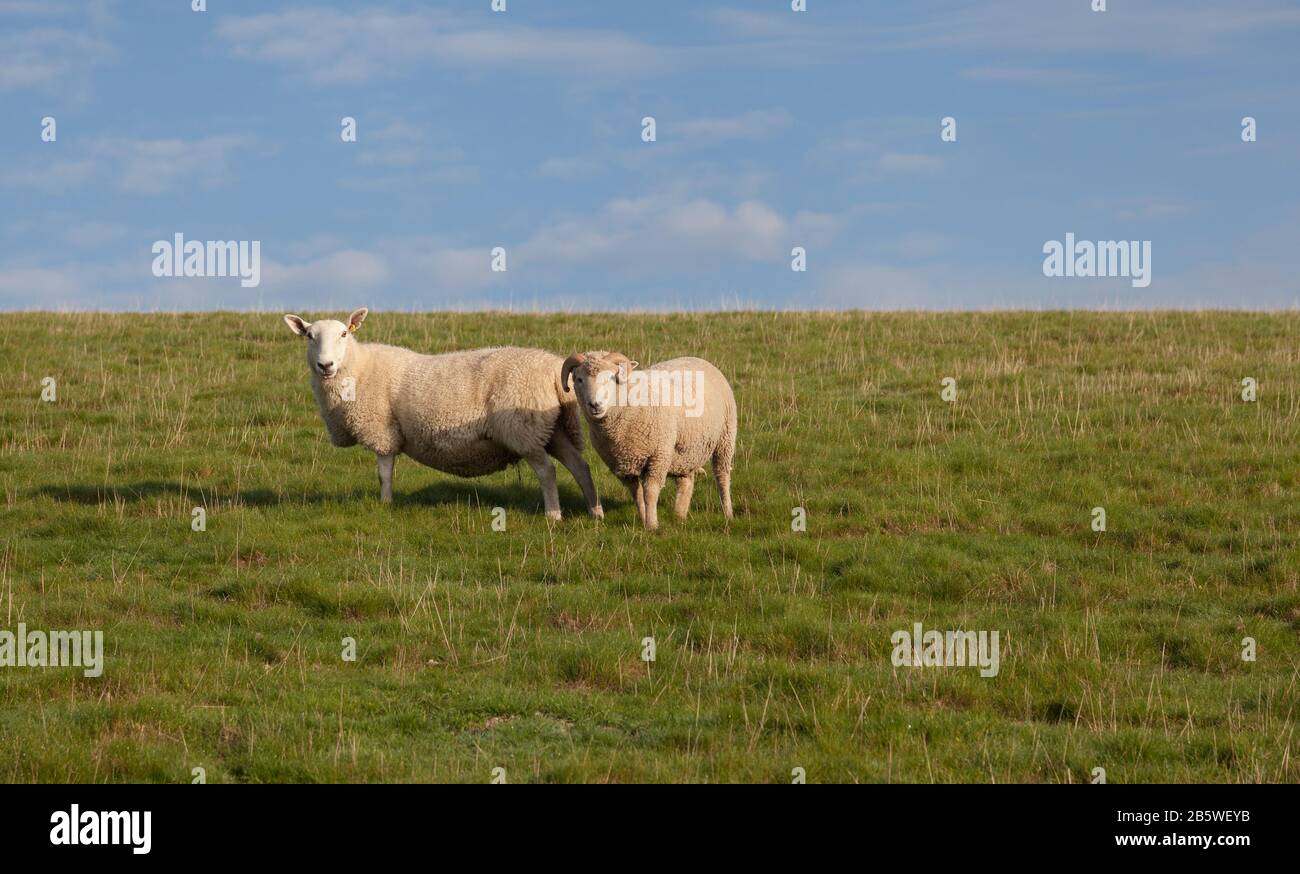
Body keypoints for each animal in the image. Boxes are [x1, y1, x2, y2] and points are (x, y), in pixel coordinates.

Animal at [283, 308, 602, 521]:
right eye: (309, 336)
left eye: (344, 333)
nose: (326, 365)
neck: (358, 368)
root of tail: (553, 371)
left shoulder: (381, 431)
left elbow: (384, 474)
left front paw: (386, 505)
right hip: (552, 428)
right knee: (580, 466)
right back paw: (594, 512)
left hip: (523, 428)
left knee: (547, 471)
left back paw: (554, 516)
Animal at [561, 350, 736, 530]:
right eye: (579, 379)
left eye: (611, 377)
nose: (595, 405)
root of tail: (697, 358)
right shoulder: (622, 465)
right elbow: (637, 494)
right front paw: (644, 519)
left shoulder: (658, 456)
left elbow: (650, 491)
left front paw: (652, 525)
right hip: (685, 450)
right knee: (686, 481)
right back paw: (679, 515)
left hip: (725, 437)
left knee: (722, 475)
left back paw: (728, 513)